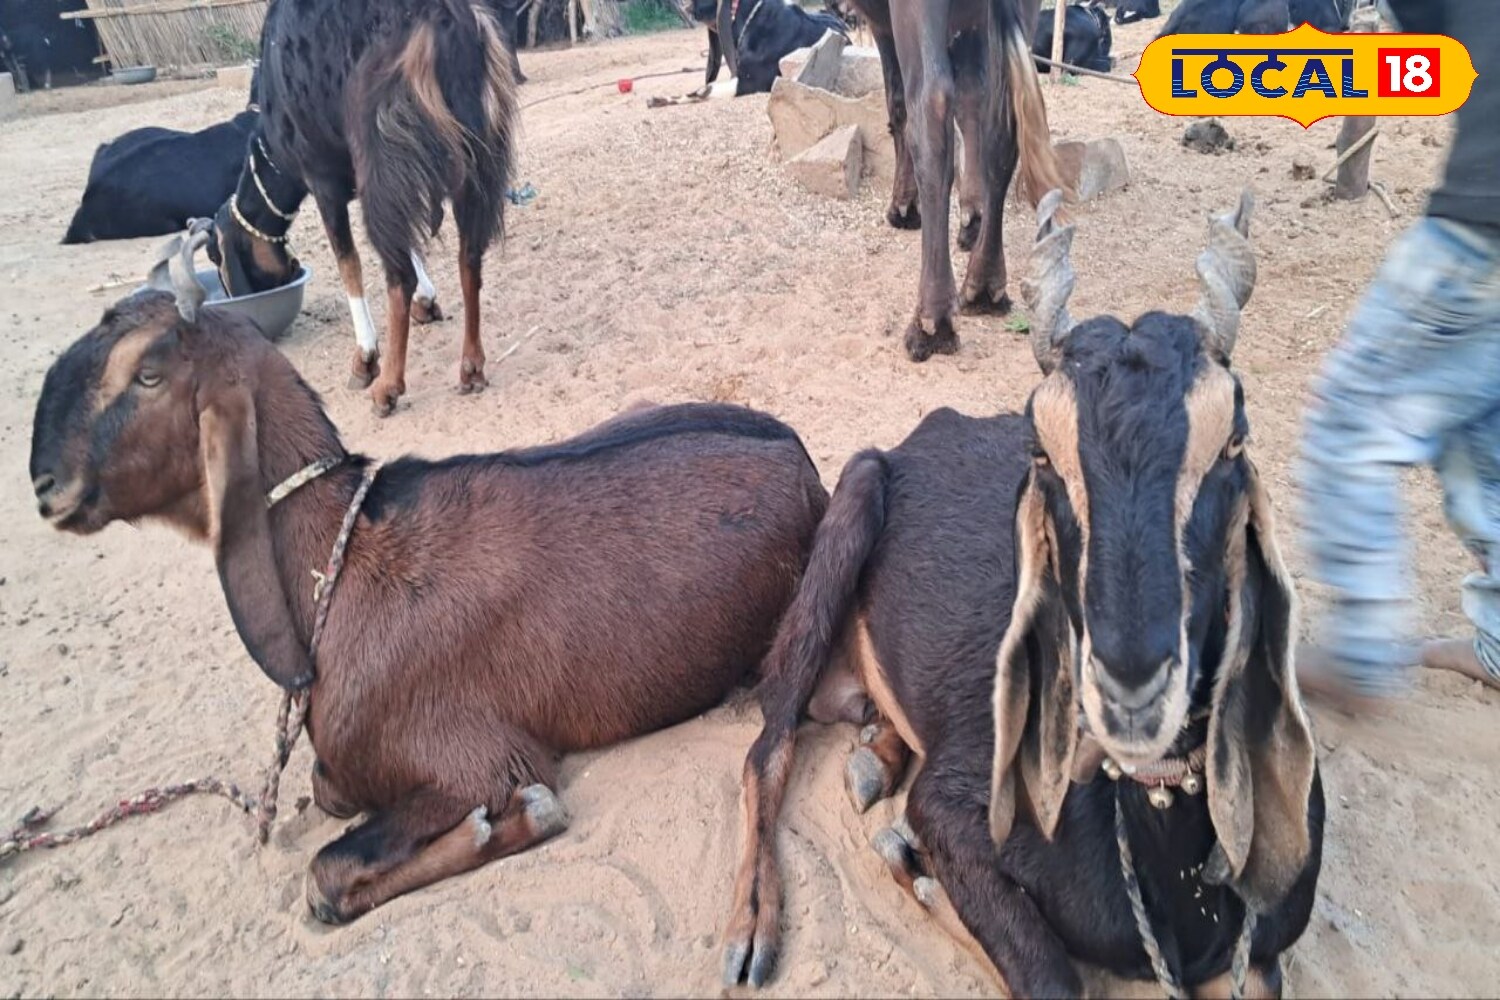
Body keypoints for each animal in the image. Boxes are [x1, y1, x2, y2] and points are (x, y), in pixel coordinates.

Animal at [28, 234, 829, 924]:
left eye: (148, 374)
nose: (44, 486)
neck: (340, 563)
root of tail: (803, 459)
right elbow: (325, 791)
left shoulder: (474, 756)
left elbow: (326, 873)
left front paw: (504, 823)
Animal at [204, 0, 517, 416]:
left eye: (215, 256)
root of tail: (442, 16)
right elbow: (409, 244)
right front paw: (427, 303)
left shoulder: (323, 179)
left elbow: (348, 263)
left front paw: (365, 358)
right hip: (475, 150)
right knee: (469, 258)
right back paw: (471, 367)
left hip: (383, 147)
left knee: (399, 275)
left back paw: (388, 387)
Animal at [721, 191, 1323, 995]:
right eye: (1042, 450)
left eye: (1234, 439)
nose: (1131, 684)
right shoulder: (956, 807)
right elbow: (1047, 973)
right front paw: (911, 862)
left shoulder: (1262, 946)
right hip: (848, 506)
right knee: (770, 741)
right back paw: (754, 925)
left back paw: (876, 755)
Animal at [846, 0, 1067, 362]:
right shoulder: (969, 22)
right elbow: (973, 97)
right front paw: (972, 217)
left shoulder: (881, 24)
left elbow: (898, 103)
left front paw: (904, 208)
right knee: (1004, 118)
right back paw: (984, 283)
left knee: (931, 105)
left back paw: (931, 322)